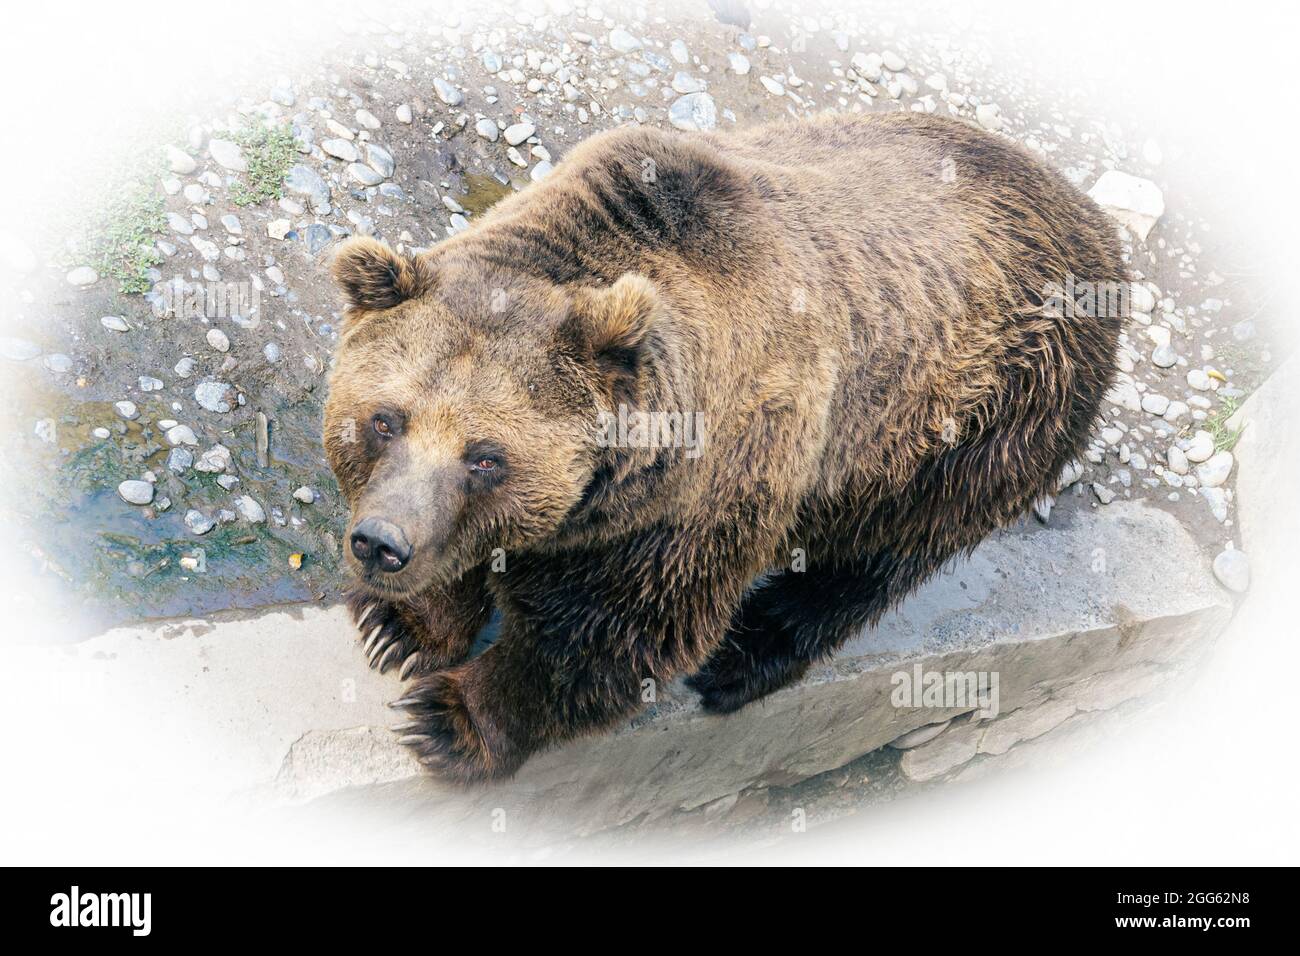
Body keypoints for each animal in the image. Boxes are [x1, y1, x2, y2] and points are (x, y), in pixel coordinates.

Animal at [324, 112, 1125, 783]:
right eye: (386, 420)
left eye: (486, 456)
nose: (382, 543)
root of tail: (1096, 225)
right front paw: (399, 625)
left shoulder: (701, 490)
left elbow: (612, 633)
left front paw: (449, 719)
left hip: (978, 424)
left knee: (878, 557)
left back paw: (749, 653)